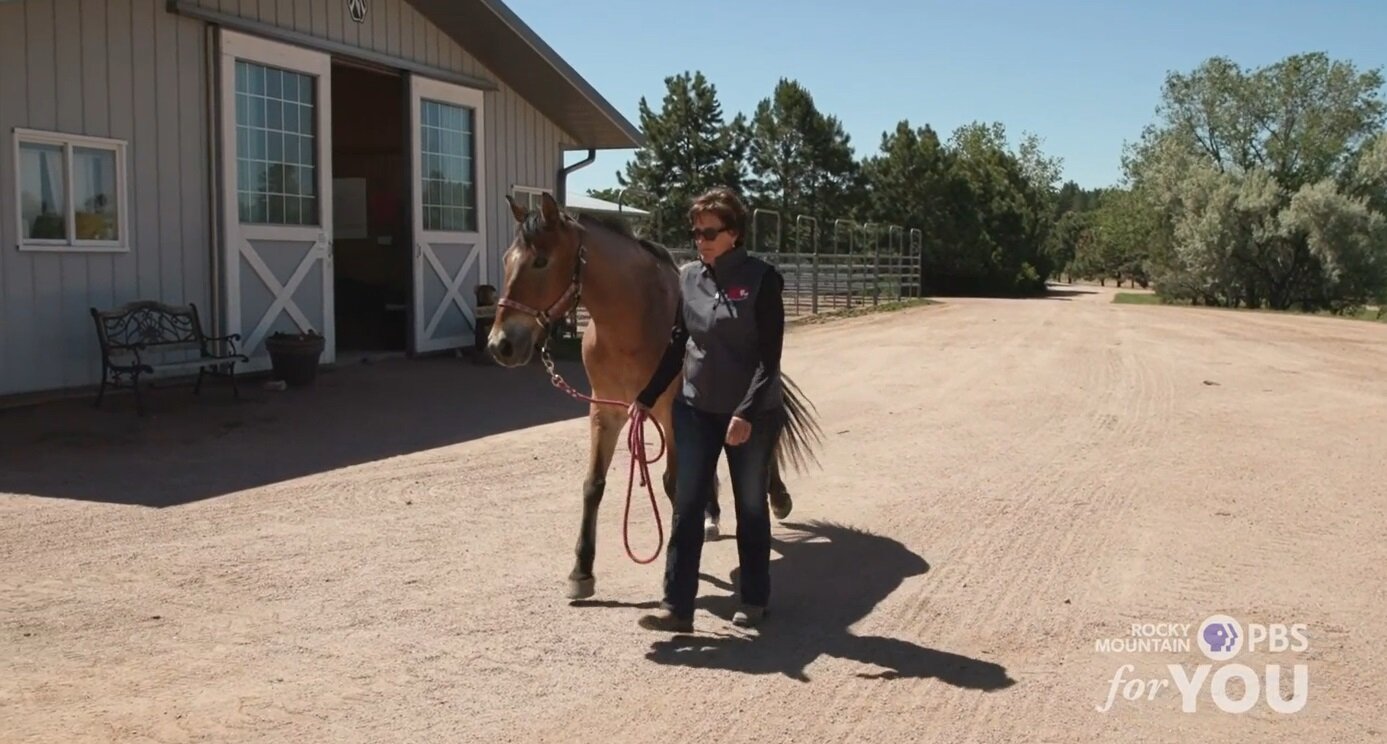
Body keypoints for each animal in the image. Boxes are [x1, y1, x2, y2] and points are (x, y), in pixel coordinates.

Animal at [486, 191, 824, 600]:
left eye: (540, 261)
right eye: (507, 259)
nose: (500, 345)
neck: (633, 321)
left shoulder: (670, 415)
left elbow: (674, 485)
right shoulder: (606, 412)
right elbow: (593, 485)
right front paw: (581, 572)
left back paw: (778, 498)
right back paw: (712, 516)